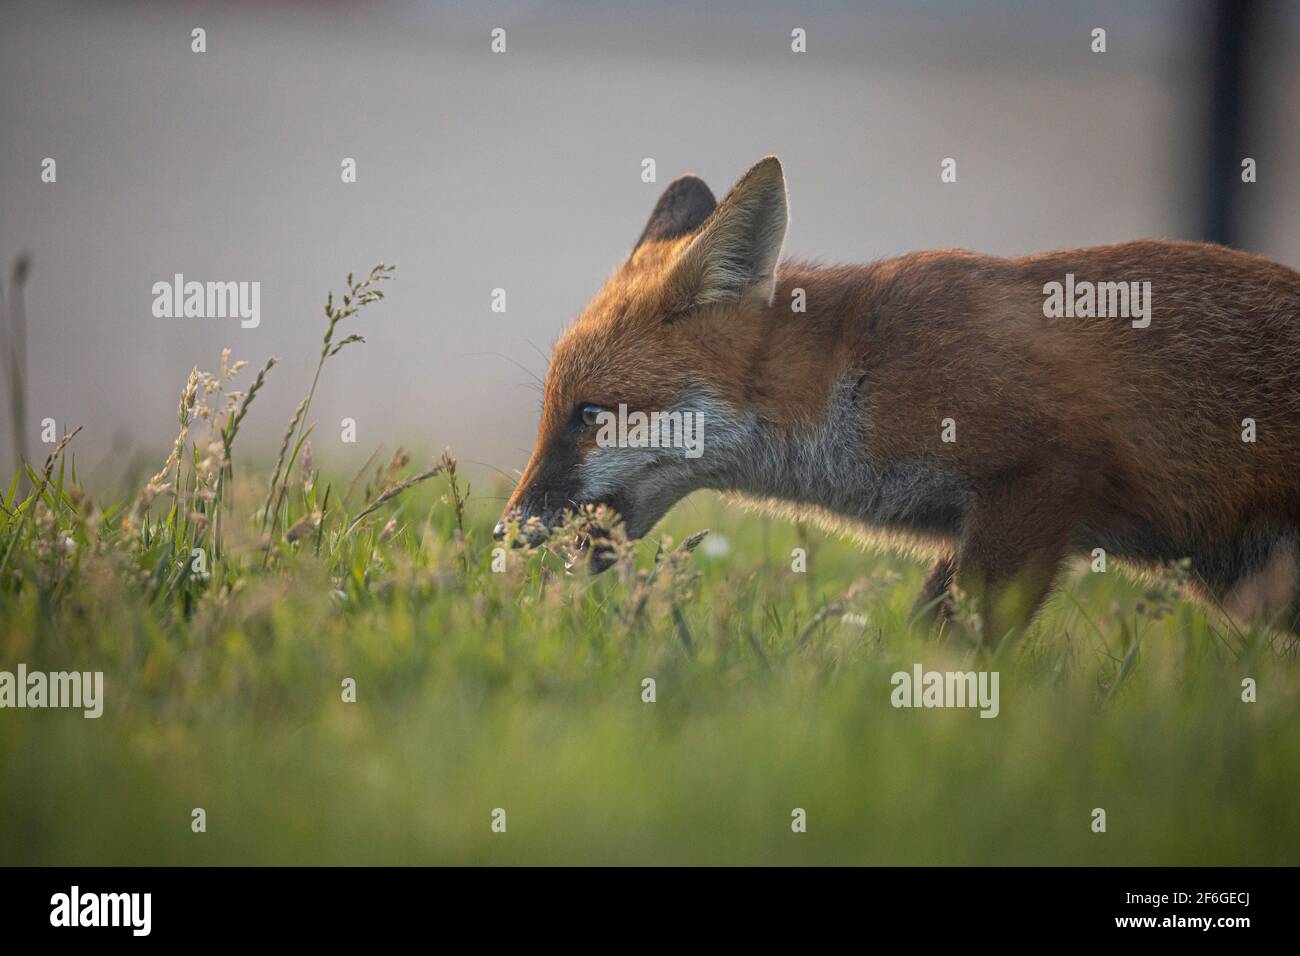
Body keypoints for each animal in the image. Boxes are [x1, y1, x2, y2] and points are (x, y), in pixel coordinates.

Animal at [496, 156, 1300, 645]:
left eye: (590, 416)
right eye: (550, 412)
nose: (504, 534)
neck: (856, 384)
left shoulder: (1038, 483)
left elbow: (955, 646)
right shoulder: (964, 530)